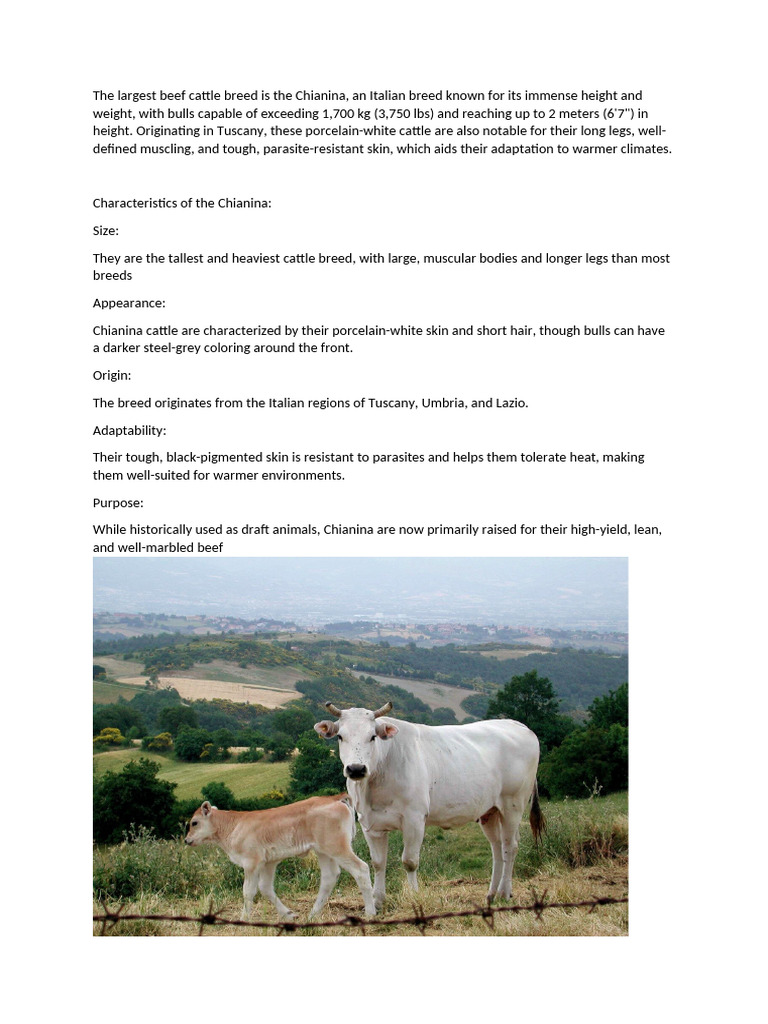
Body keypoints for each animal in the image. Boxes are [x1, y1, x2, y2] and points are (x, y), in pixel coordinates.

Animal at [184, 793, 377, 921]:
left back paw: (370, 912)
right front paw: (289, 914)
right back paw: (313, 914)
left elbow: (248, 891)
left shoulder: (251, 862)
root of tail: (333, 798)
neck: (233, 826)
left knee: (361, 869)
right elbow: (265, 888)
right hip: (323, 851)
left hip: (337, 847)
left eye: (194, 822)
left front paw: (243, 919)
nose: (186, 840)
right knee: (329, 877)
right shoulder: (268, 863)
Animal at [315, 701, 544, 912]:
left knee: (510, 847)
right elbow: (378, 862)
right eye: (340, 736)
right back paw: (491, 894)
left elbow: (410, 861)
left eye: (373, 736)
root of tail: (517, 724)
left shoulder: (414, 818)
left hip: (513, 805)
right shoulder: (369, 822)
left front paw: (414, 897)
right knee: (497, 849)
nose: (356, 769)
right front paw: (377, 901)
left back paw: (505, 892)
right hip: (490, 810)